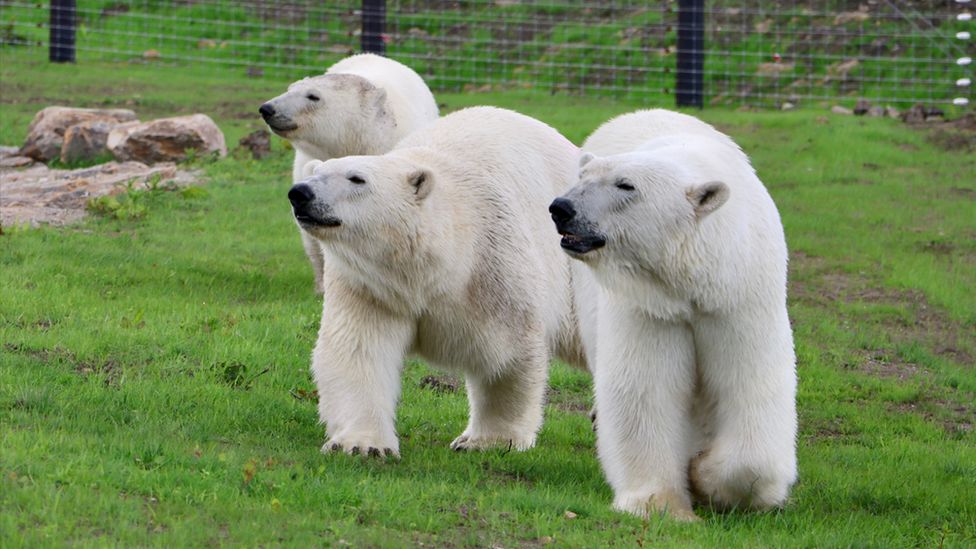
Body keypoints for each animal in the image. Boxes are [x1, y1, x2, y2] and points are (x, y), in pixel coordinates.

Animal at [287, 106, 588, 458]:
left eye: (357, 178)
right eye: (316, 171)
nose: (300, 193)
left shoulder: (494, 267)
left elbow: (507, 355)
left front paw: (488, 441)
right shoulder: (370, 286)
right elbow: (358, 349)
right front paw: (362, 445)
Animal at [549, 109, 797, 521]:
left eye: (626, 185)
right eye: (583, 177)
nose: (561, 208)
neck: (689, 281)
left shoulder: (736, 297)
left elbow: (749, 384)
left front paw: (704, 476)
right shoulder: (649, 306)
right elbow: (646, 387)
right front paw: (660, 503)